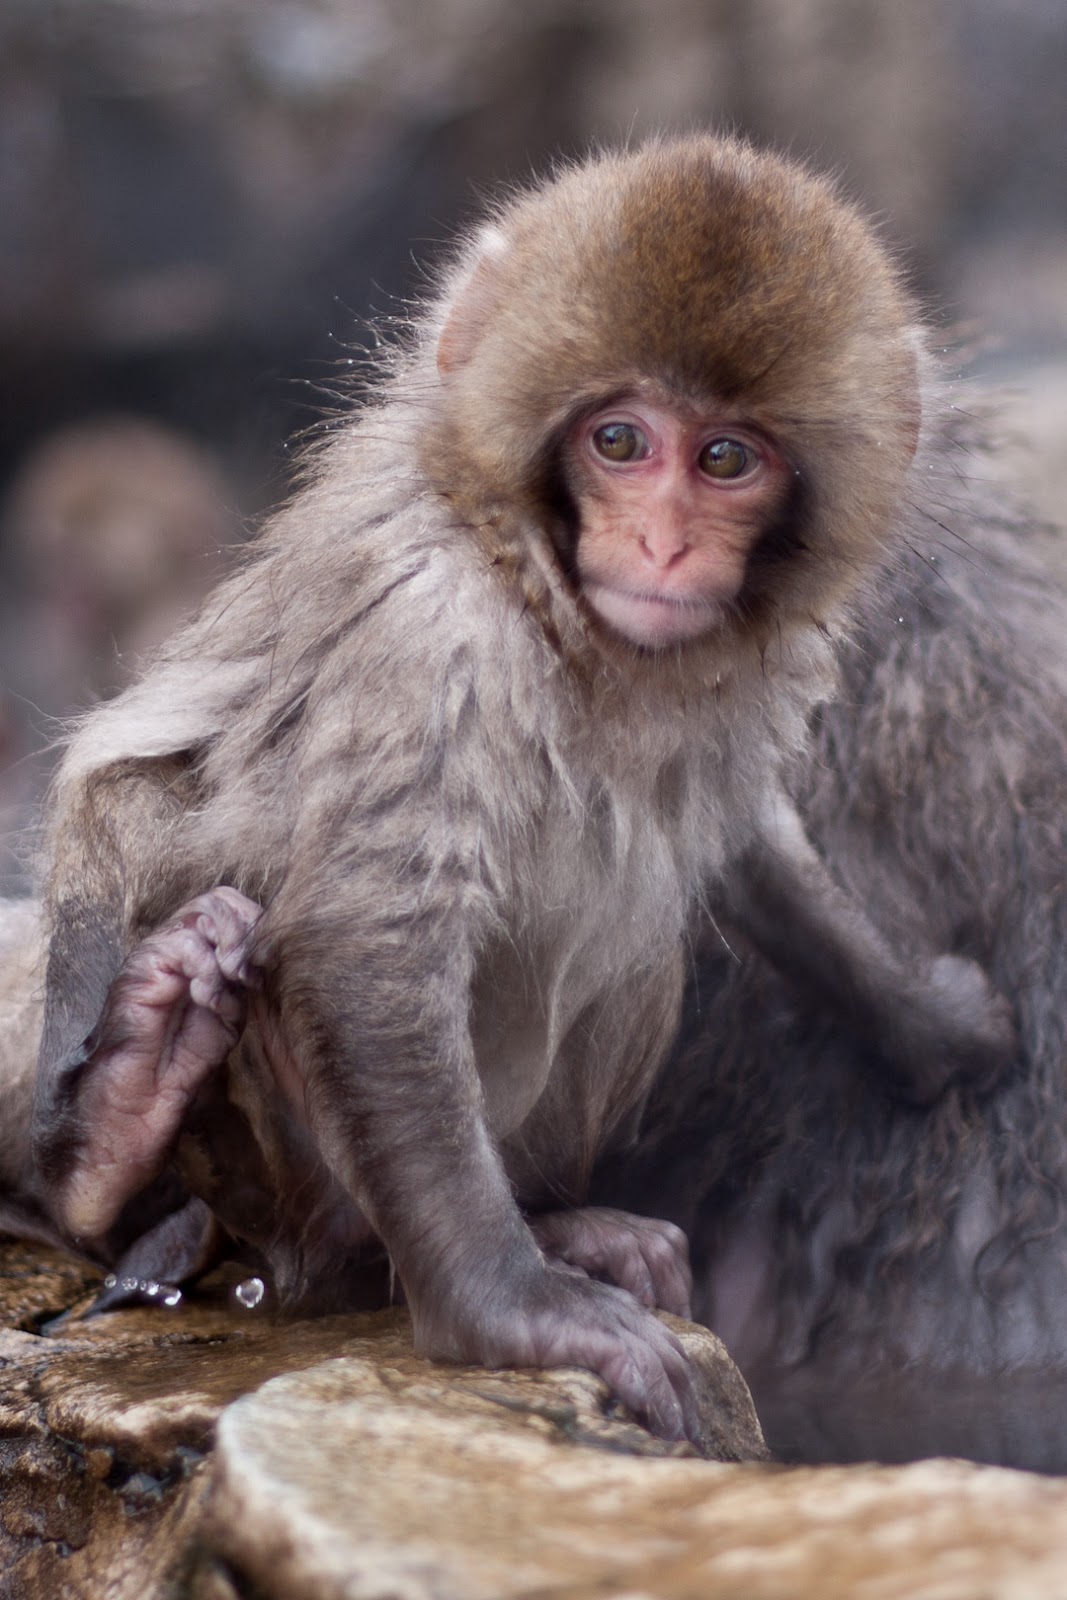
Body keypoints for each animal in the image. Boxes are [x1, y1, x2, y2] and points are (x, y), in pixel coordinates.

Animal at [18, 135, 1014, 1445]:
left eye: (724, 458)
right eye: (618, 443)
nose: (661, 547)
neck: (537, 576)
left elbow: (745, 830)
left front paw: (922, 1019)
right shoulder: (431, 630)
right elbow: (372, 932)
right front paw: (508, 1314)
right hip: (276, 1152)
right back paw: (148, 1125)